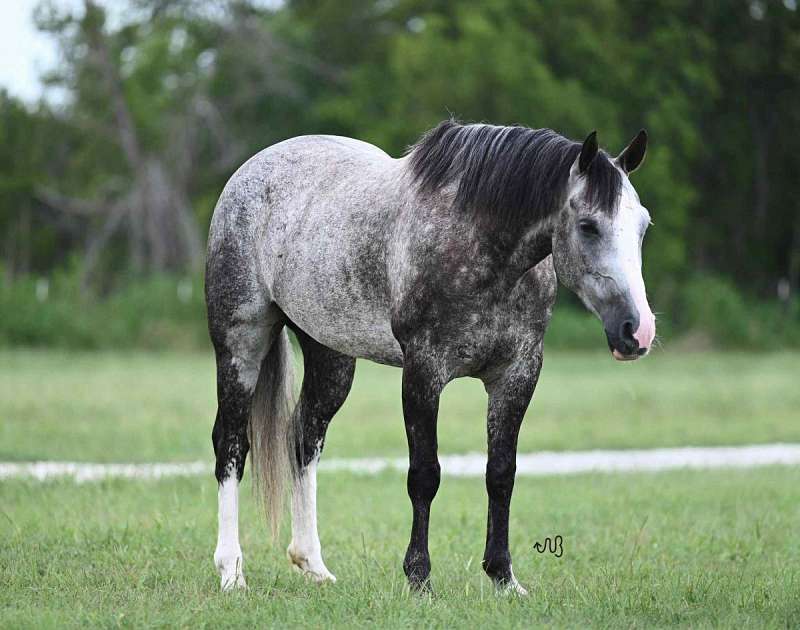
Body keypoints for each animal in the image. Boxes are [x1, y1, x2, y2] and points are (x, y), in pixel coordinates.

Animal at [205, 120, 655, 594]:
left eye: (643, 226)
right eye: (588, 226)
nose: (637, 331)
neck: (480, 247)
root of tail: (251, 169)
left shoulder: (517, 374)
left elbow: (501, 473)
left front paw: (503, 577)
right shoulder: (423, 373)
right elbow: (425, 474)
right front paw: (419, 578)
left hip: (331, 356)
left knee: (304, 439)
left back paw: (313, 565)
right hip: (240, 343)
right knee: (231, 443)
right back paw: (232, 572)